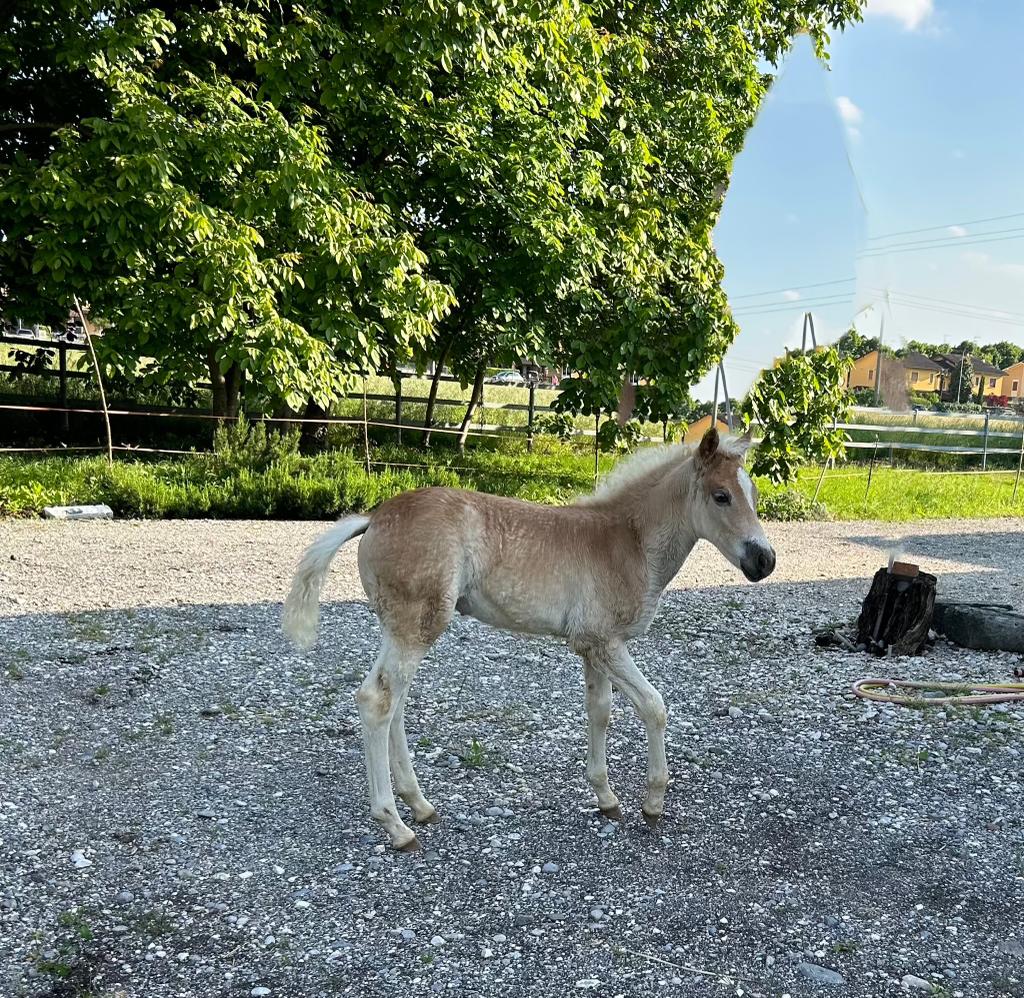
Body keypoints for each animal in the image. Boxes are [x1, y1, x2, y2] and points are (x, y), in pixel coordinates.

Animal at [283, 427, 776, 850]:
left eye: (752, 495)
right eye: (721, 496)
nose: (764, 561)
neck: (628, 542)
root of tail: (373, 517)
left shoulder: (593, 646)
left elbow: (600, 712)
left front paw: (606, 798)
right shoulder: (607, 644)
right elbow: (653, 707)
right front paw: (652, 802)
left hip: (401, 628)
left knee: (394, 703)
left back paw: (420, 805)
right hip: (415, 625)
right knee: (377, 700)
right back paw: (397, 826)